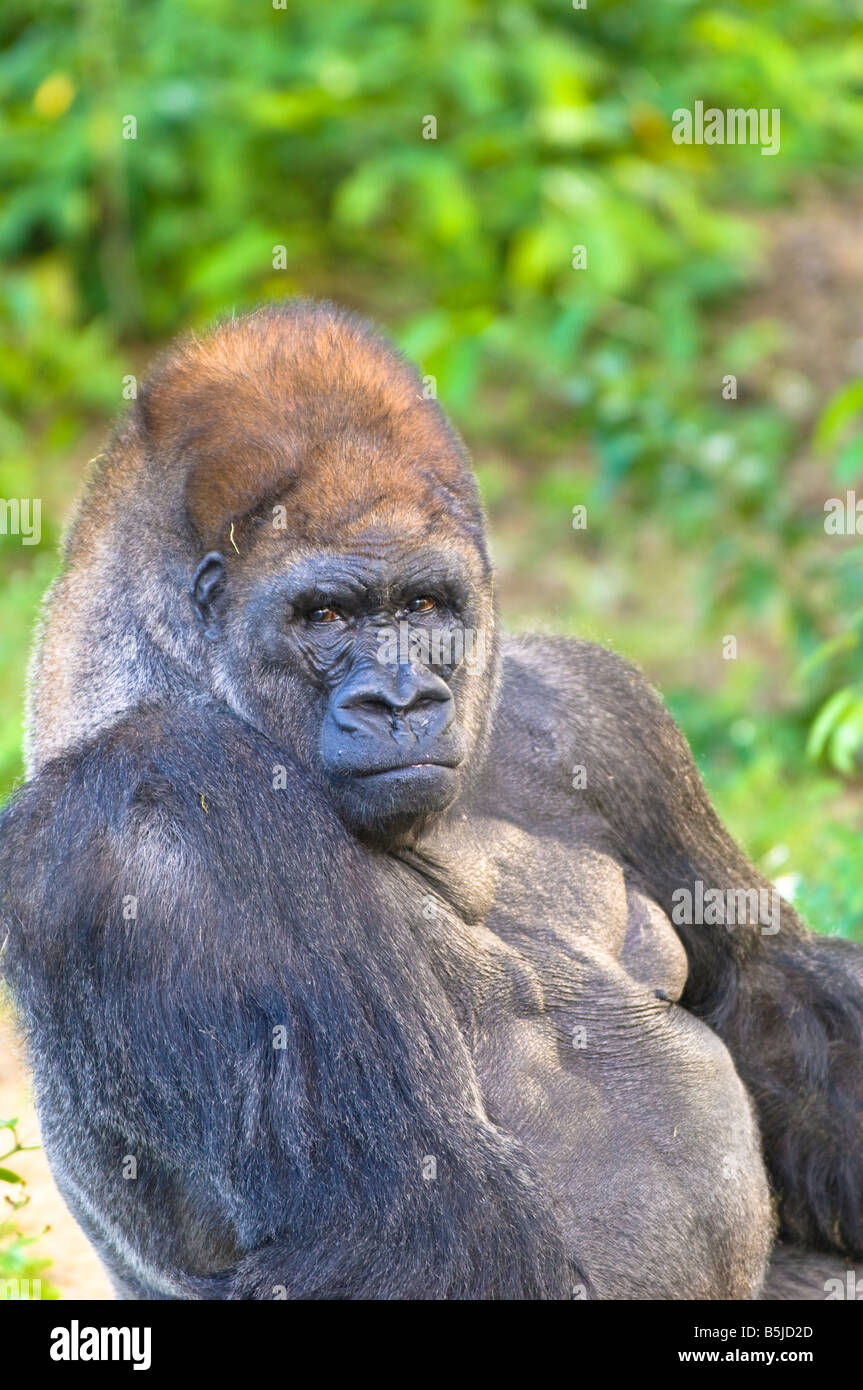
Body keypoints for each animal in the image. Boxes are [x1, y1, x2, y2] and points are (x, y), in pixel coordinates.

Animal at [1, 300, 861, 1299]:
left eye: (423, 605)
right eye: (324, 615)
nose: (404, 702)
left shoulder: (596, 713)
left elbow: (771, 995)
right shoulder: (156, 809)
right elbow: (413, 1227)